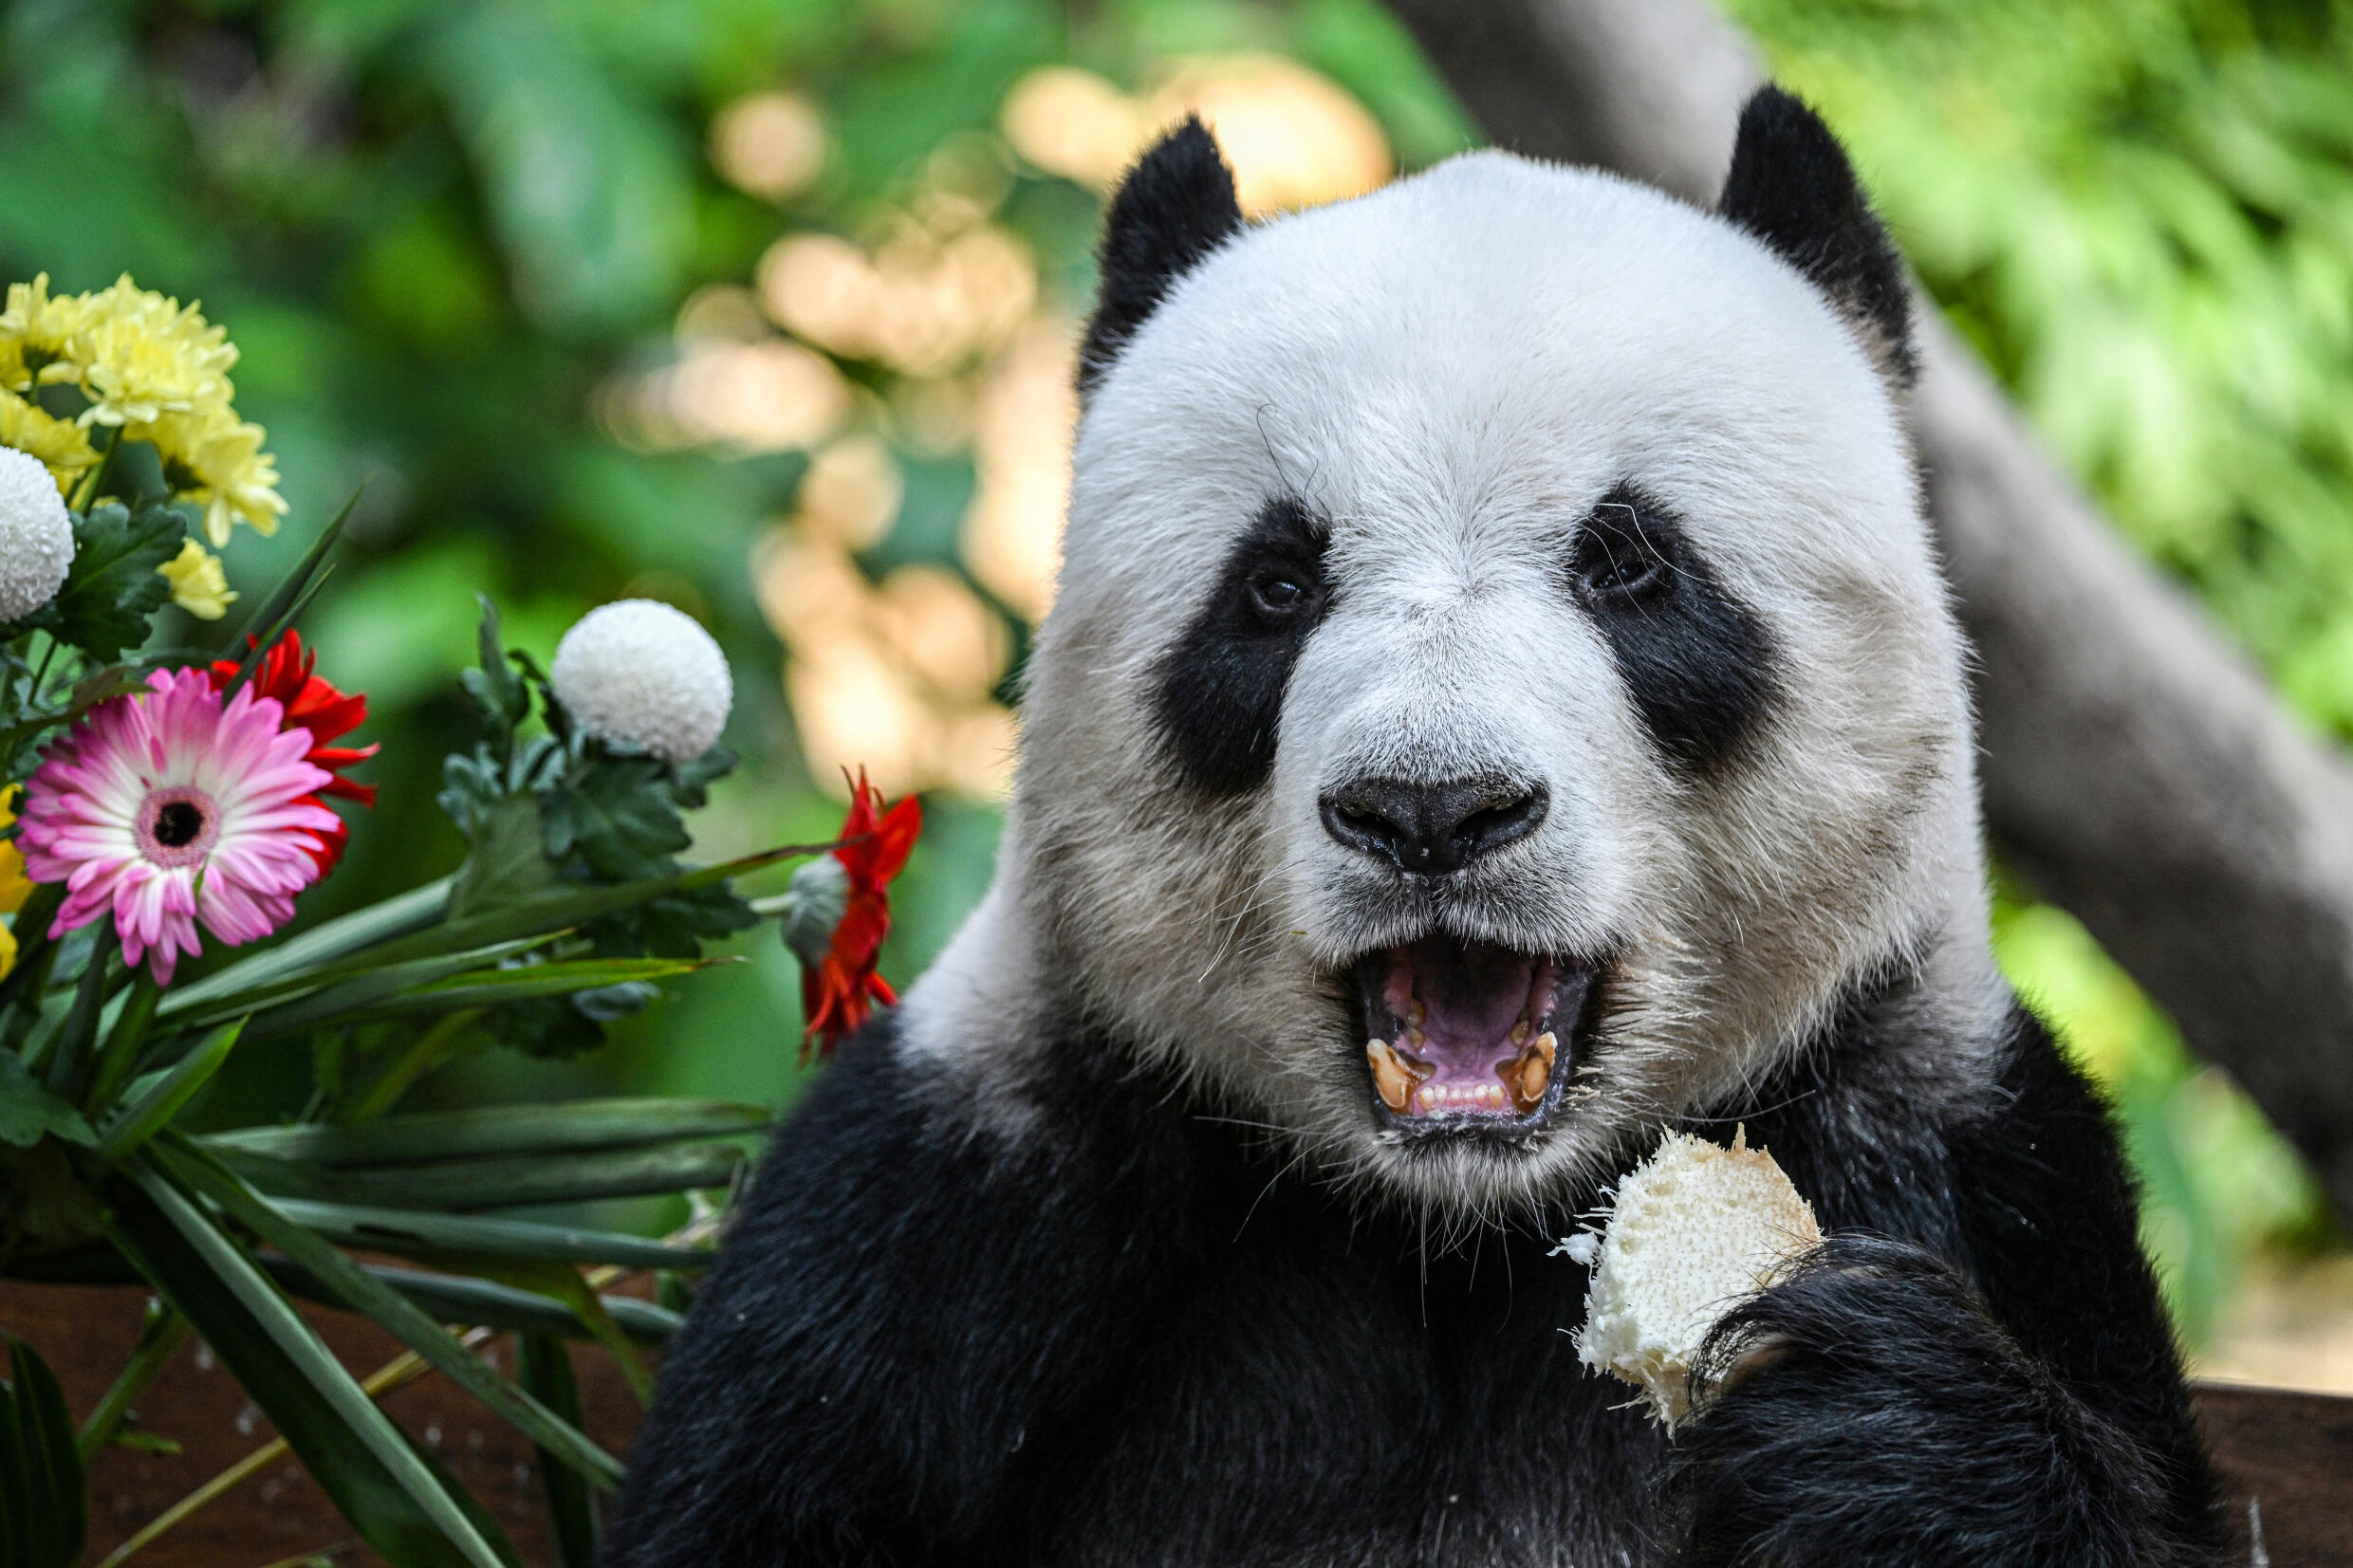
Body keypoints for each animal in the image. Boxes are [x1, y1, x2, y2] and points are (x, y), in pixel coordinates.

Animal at [606, 90, 2224, 1567]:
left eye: (1630, 565)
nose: (1434, 809)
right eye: (1274, 586)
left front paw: (1887, 1434)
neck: (1459, 1233)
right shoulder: (965, 1189)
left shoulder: (1975, 1163)